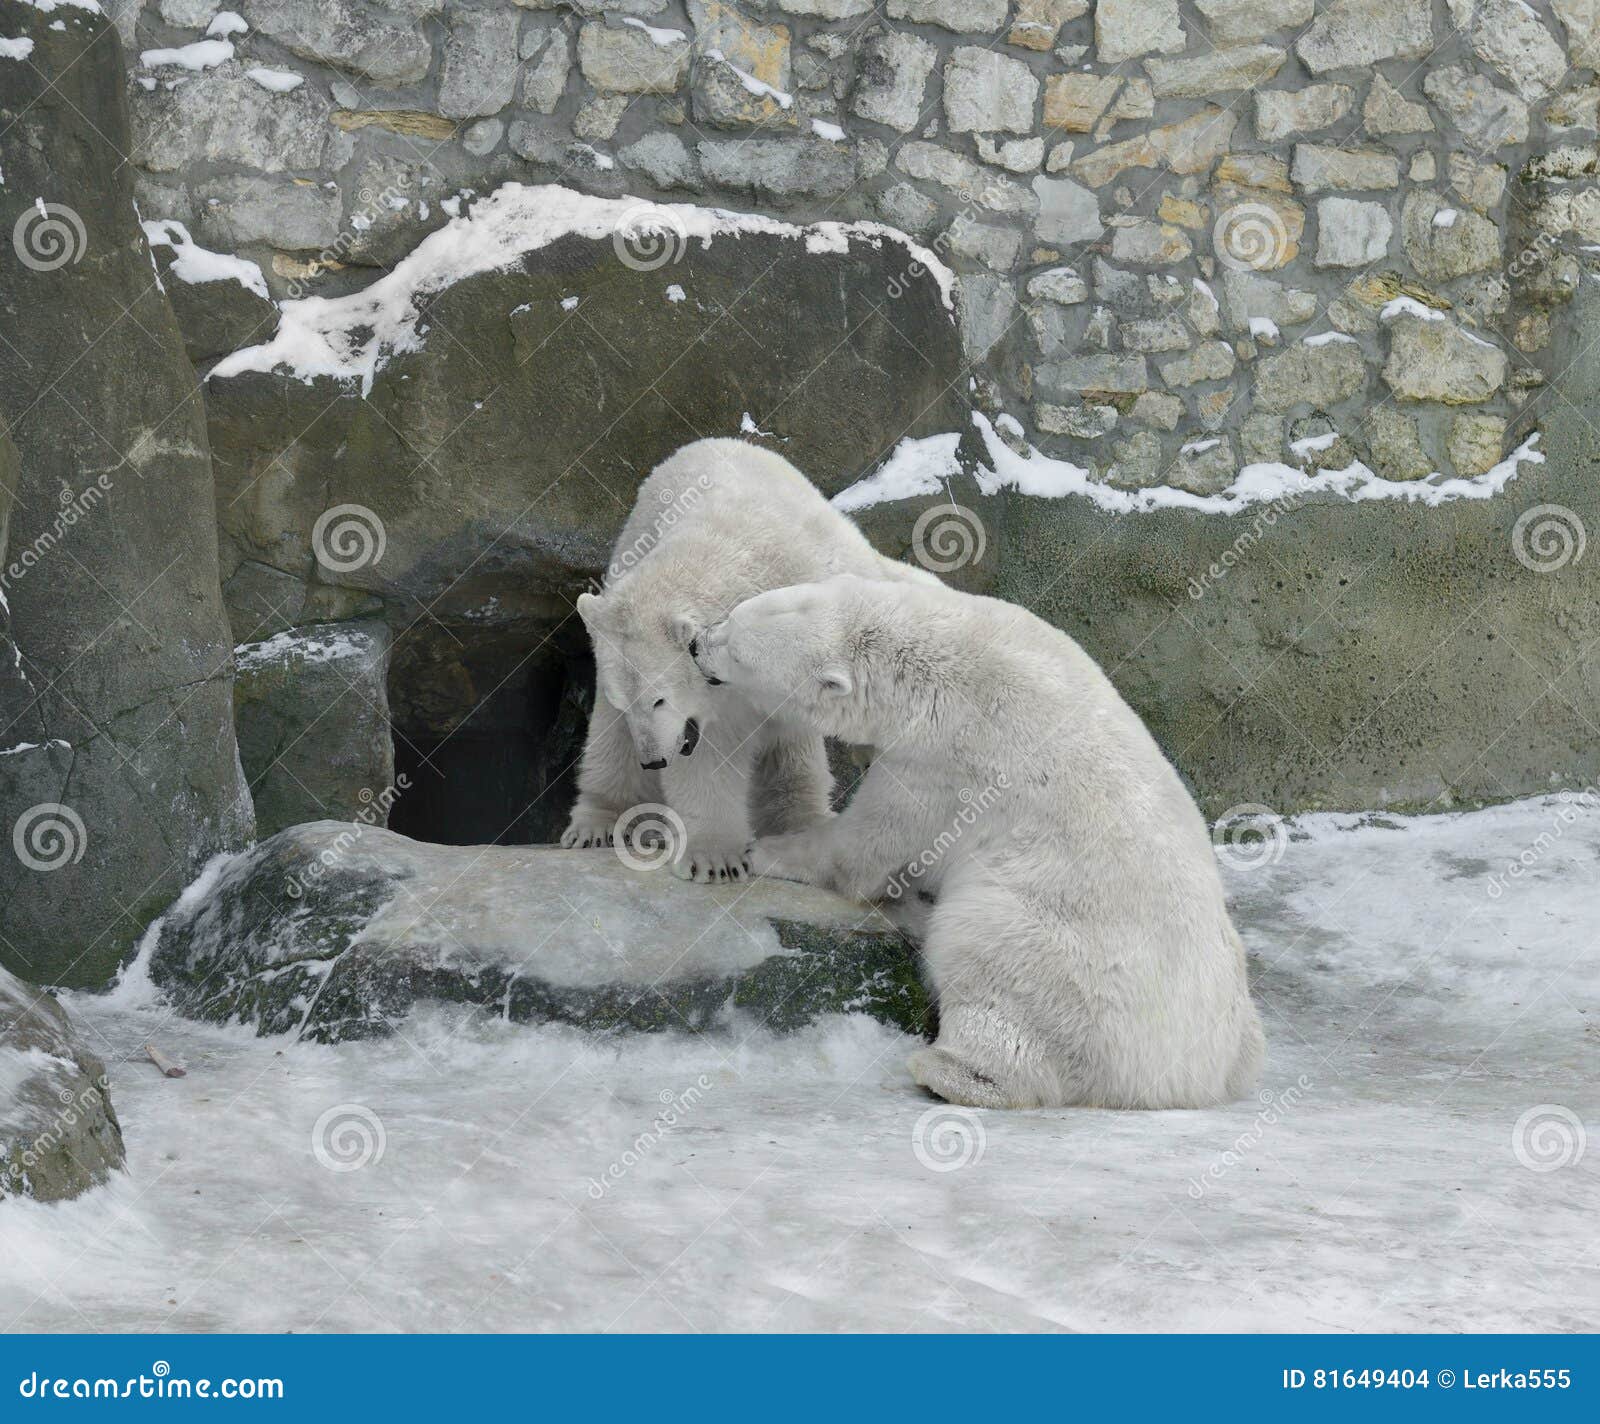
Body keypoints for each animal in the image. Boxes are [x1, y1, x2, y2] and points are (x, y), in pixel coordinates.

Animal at [564, 439, 939, 882]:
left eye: (659, 699)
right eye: (630, 702)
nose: (654, 759)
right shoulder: (711, 702)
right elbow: (709, 759)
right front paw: (715, 860)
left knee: (791, 752)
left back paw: (802, 821)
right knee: (609, 739)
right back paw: (595, 824)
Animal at [689, 574, 1266, 1109]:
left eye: (735, 651)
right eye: (732, 612)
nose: (696, 643)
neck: (930, 658)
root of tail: (1191, 1078)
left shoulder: (942, 760)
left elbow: (870, 846)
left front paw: (768, 849)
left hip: (1060, 951)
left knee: (987, 955)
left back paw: (947, 1070)